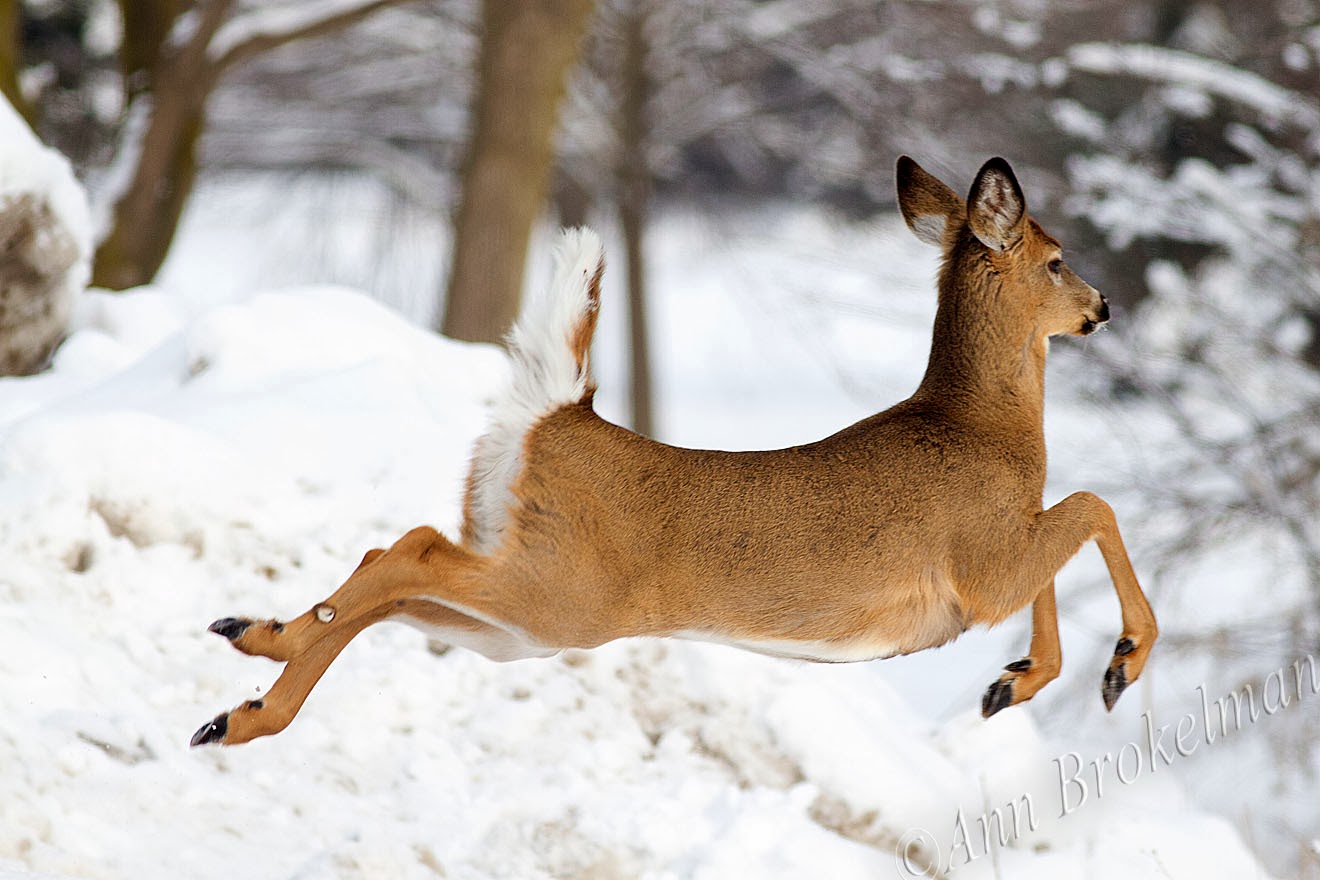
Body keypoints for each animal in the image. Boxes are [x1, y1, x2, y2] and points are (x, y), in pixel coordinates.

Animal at [191, 156, 1157, 748]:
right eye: (1058, 258)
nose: (1104, 306)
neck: (981, 426)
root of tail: (558, 415)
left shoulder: (1003, 554)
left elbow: (1067, 535)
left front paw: (1015, 682)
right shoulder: (981, 563)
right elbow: (1092, 506)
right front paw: (1116, 666)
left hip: (519, 618)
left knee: (389, 574)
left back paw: (247, 669)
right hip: (562, 592)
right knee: (407, 550)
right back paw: (252, 688)